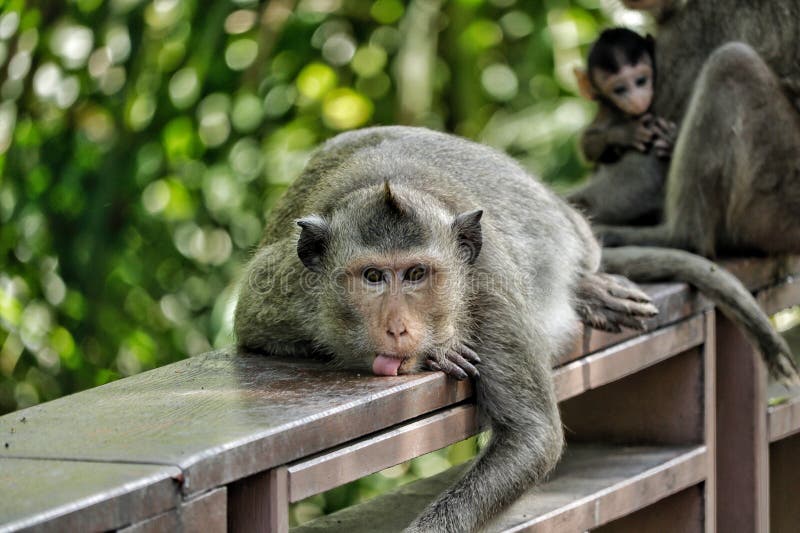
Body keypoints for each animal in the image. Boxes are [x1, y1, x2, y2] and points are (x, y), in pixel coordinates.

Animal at [234, 126, 661, 532]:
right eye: (372, 276)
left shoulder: (491, 284)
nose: (397, 328)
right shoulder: (282, 284)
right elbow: (249, 327)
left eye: (416, 274)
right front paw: (439, 350)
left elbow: (531, 435)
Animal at [574, 28, 677, 165]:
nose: (636, 100)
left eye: (641, 80)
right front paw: (626, 133)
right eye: (619, 89)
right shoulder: (607, 112)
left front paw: (671, 141)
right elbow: (587, 144)